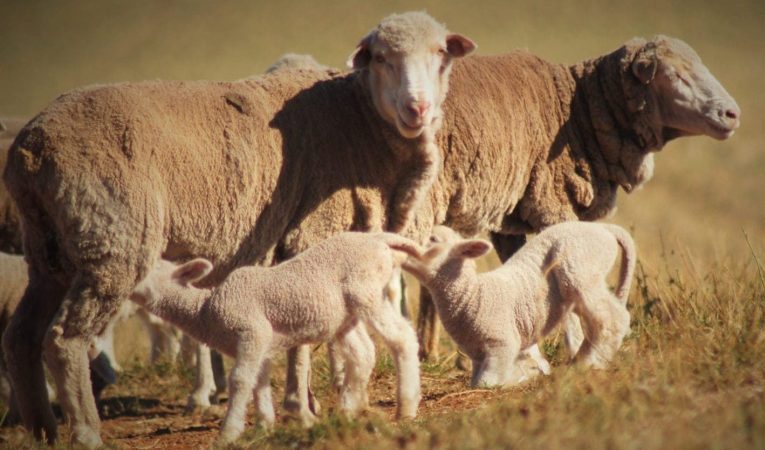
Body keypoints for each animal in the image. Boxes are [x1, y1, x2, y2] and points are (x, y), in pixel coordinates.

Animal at [130, 231, 422, 444]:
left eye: (147, 269)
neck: (205, 309)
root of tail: (378, 239)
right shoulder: (261, 344)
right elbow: (259, 383)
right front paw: (264, 426)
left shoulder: (251, 330)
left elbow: (240, 380)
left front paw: (229, 433)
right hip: (345, 315)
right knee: (363, 353)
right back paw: (347, 410)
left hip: (366, 291)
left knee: (402, 339)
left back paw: (406, 407)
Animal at [402, 222, 635, 387]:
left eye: (433, 239)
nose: (401, 244)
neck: (473, 295)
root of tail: (604, 228)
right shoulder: (478, 356)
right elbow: (476, 381)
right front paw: (530, 372)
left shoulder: (502, 345)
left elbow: (485, 383)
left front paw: (520, 377)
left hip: (580, 268)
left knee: (613, 319)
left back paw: (589, 363)